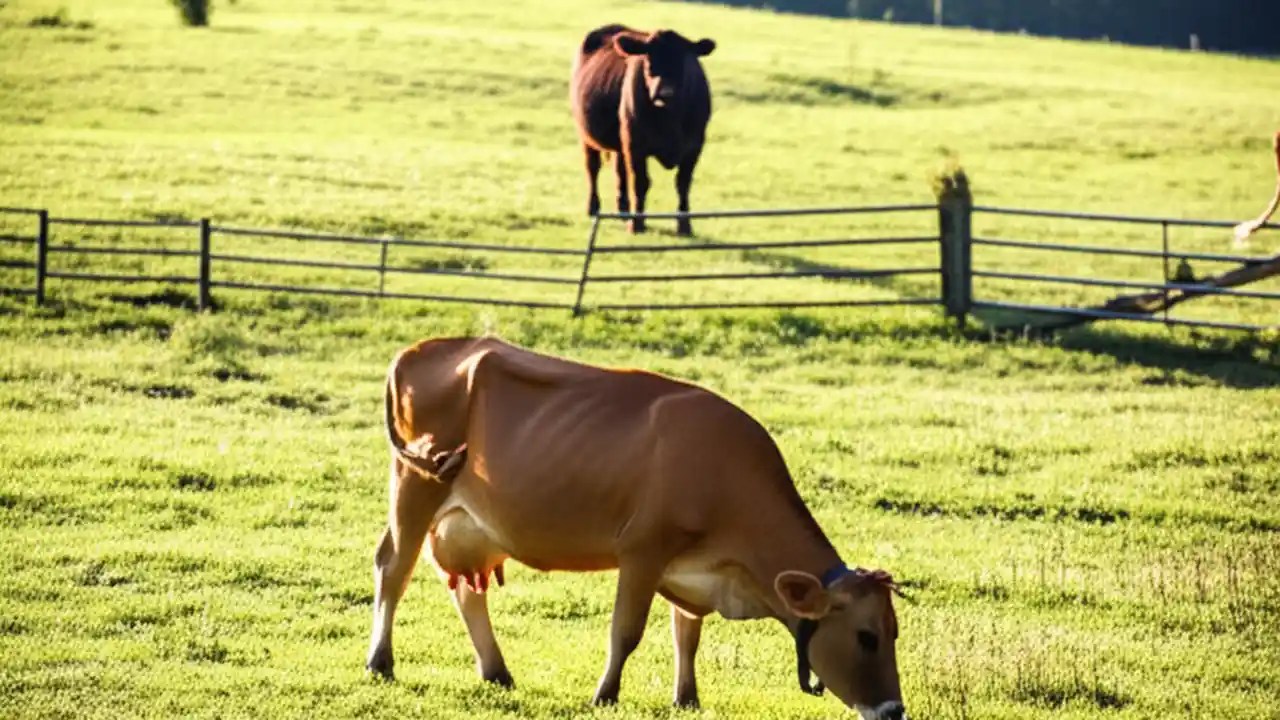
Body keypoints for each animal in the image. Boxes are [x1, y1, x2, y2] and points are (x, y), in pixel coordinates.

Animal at [365, 337, 909, 719]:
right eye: (866, 637)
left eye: (894, 632)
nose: (892, 711)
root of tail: (423, 348)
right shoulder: (643, 551)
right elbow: (626, 632)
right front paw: (605, 696)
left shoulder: (692, 568)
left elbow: (687, 634)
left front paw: (687, 698)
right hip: (415, 489)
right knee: (393, 569)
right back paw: (380, 659)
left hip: (471, 524)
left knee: (465, 591)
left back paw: (496, 670)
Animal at [570, 24, 714, 237]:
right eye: (648, 63)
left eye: (682, 64)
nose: (664, 93)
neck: (669, 118)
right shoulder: (636, 145)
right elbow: (641, 183)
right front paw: (637, 224)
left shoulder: (694, 146)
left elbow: (683, 183)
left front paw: (685, 226)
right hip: (587, 136)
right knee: (593, 167)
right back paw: (594, 207)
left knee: (619, 169)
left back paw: (623, 209)